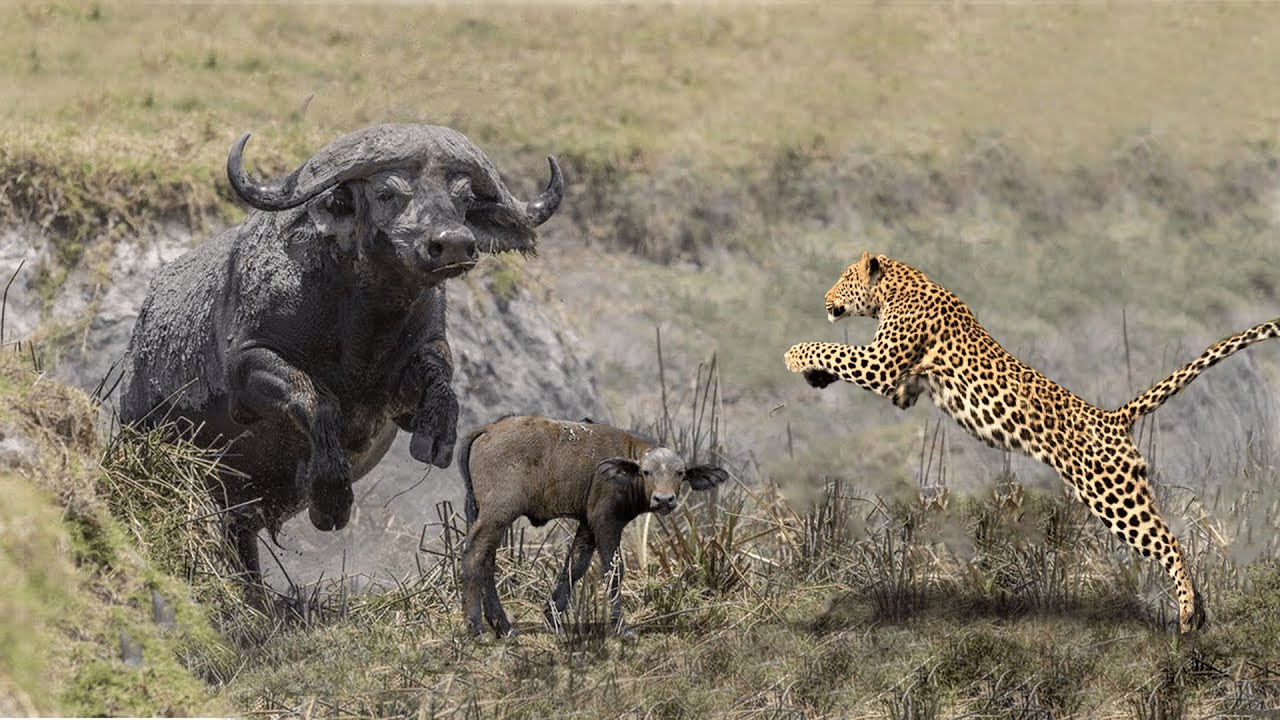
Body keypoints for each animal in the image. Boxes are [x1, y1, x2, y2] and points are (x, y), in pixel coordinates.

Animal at [119, 124, 563, 589]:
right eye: (387, 192)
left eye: (461, 196)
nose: (455, 244)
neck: (361, 329)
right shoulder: (249, 367)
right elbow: (316, 400)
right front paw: (331, 499)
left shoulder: (407, 380)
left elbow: (441, 377)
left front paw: (435, 436)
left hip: (237, 510)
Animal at [458, 415, 730, 638]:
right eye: (646, 471)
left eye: (680, 473)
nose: (664, 500)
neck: (624, 470)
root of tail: (489, 429)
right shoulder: (606, 521)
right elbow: (613, 570)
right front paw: (621, 627)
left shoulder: (587, 525)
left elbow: (574, 566)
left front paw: (553, 618)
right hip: (499, 513)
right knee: (474, 553)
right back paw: (477, 628)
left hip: (482, 513)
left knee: (487, 560)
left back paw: (503, 627)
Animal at [784, 251, 1280, 633]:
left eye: (843, 279)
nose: (825, 300)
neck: (899, 285)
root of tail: (1111, 417)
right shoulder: (902, 388)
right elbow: (838, 357)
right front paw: (814, 375)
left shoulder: (882, 364)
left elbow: (831, 348)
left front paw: (795, 356)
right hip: (1130, 488)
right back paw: (1200, 612)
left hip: (1113, 497)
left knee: (1170, 544)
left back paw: (1186, 614)